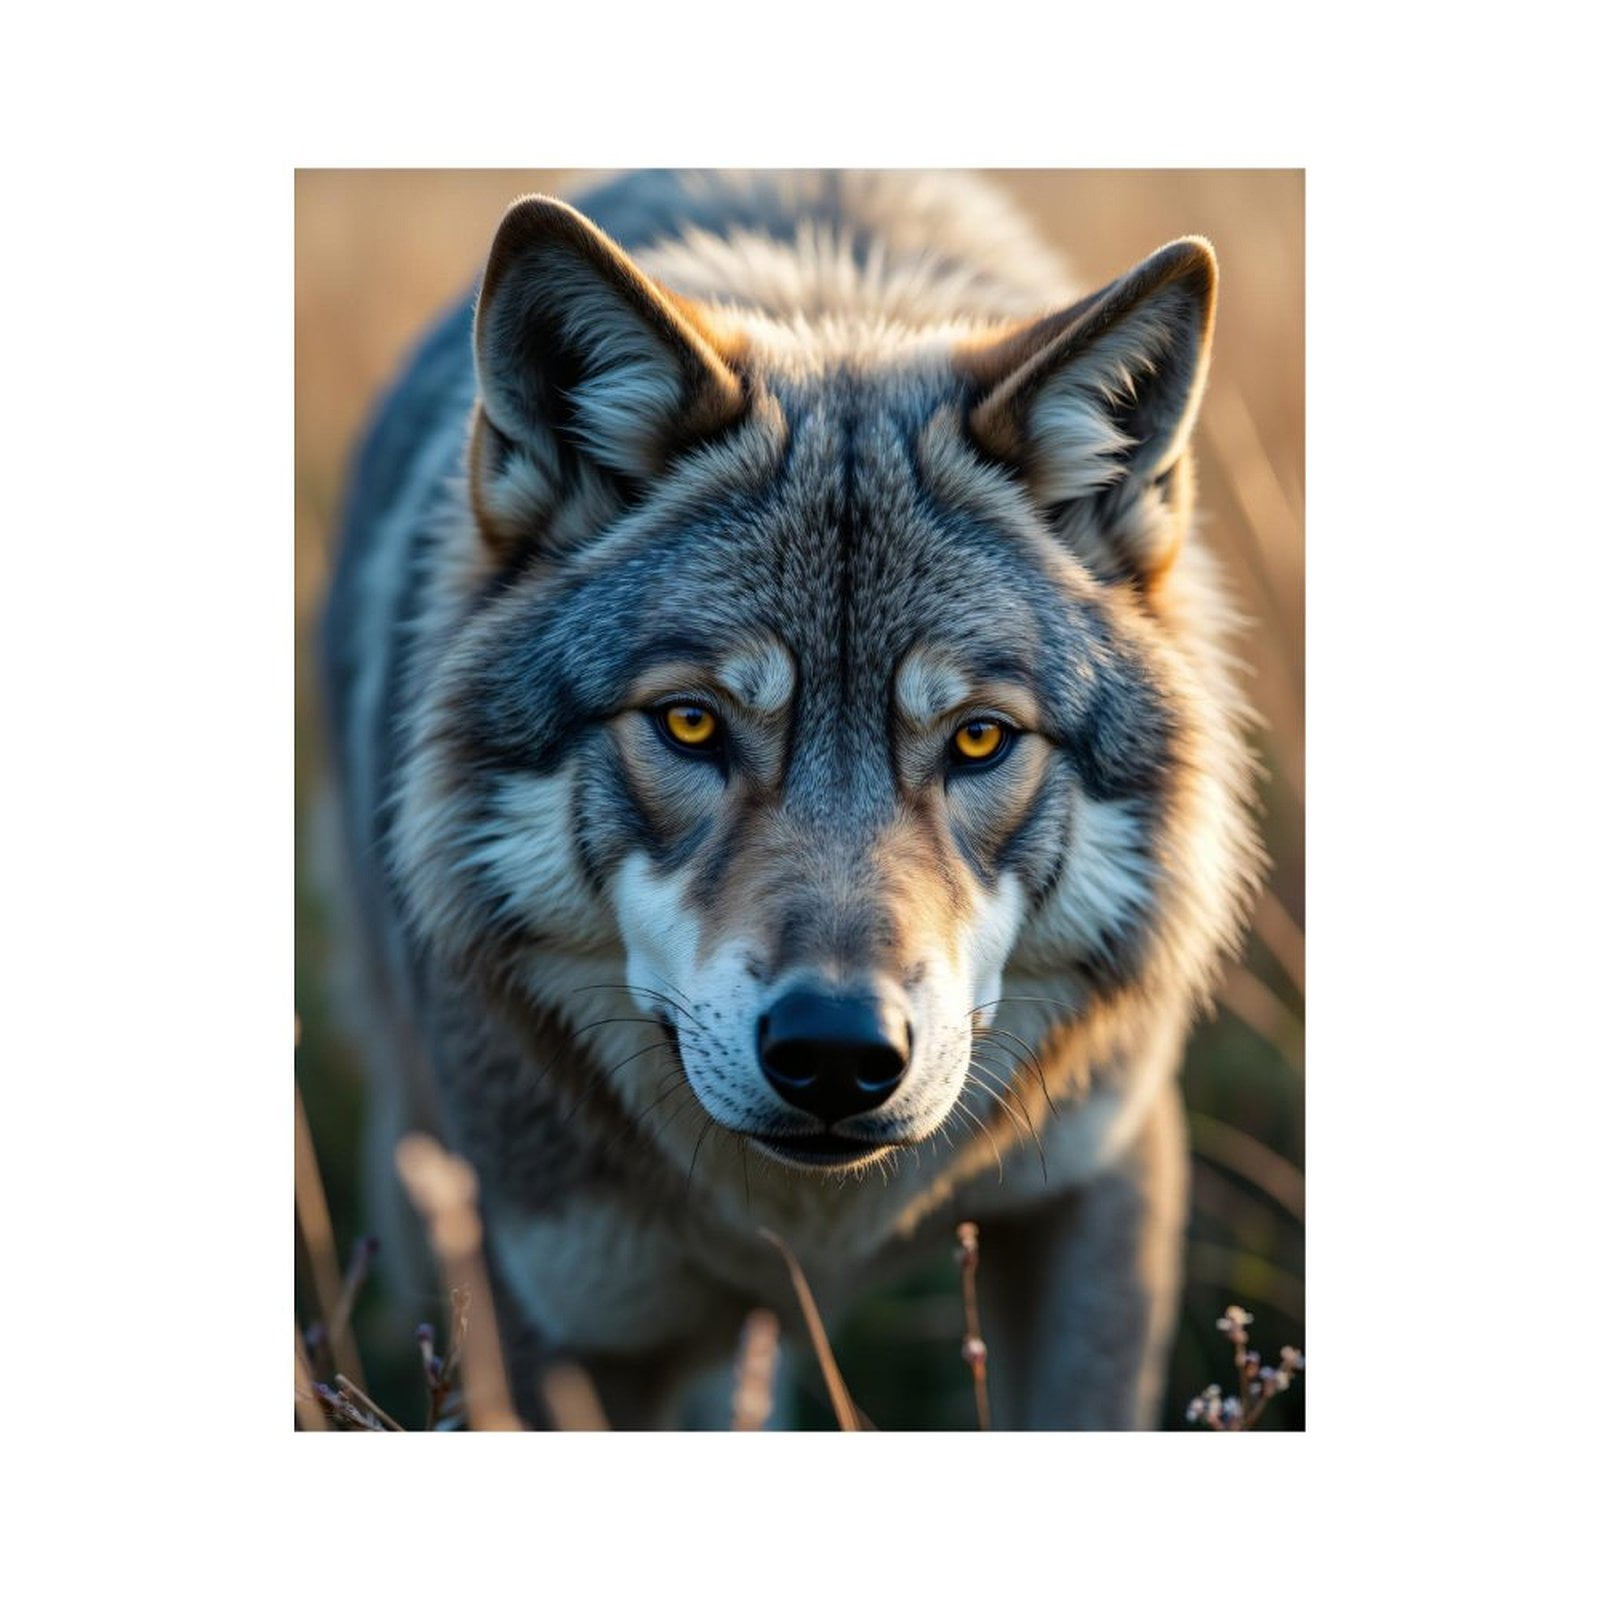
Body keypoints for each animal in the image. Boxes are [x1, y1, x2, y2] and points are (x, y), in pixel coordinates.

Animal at [319, 170, 1261, 1429]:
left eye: (978, 738)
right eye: (691, 724)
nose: (836, 1053)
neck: (815, 1224)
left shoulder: (1108, 1183)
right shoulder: (553, 1323)